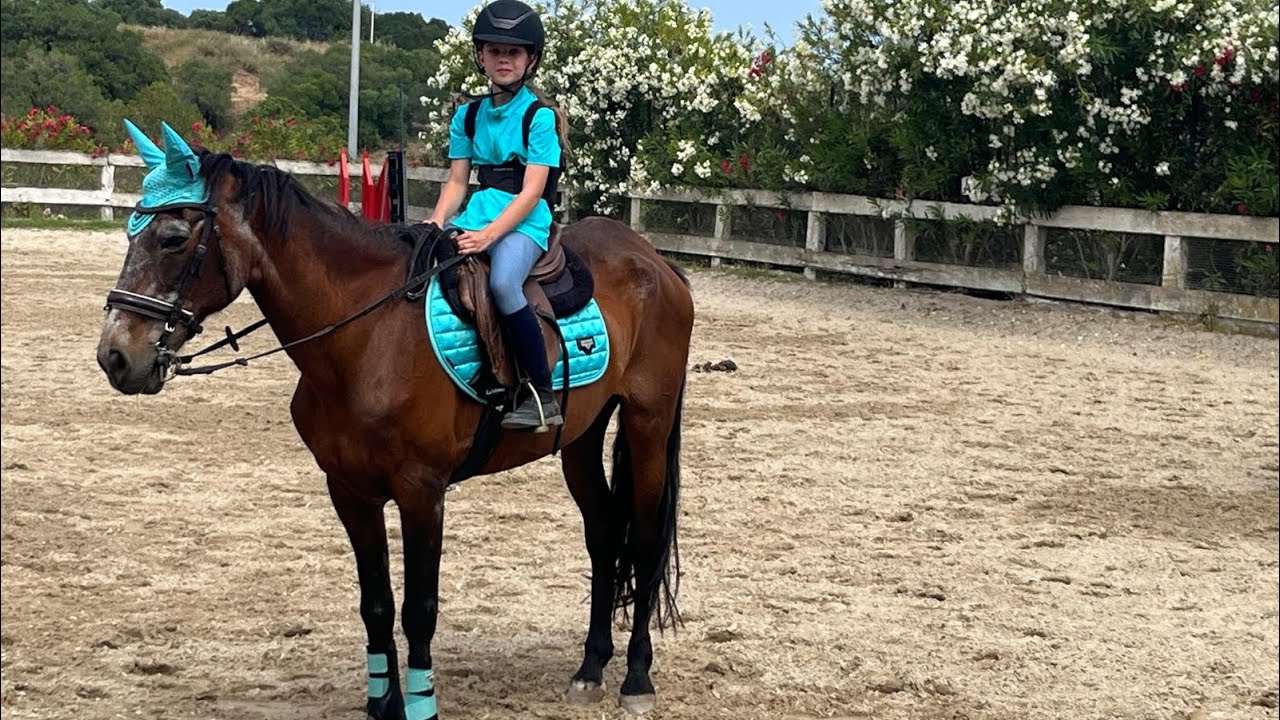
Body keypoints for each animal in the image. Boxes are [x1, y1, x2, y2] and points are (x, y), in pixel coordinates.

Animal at [95, 123, 694, 718]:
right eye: (131, 232)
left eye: (173, 238)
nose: (115, 356)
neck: (365, 336)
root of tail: (655, 261)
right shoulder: (350, 492)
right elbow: (377, 605)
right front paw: (383, 703)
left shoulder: (421, 492)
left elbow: (419, 608)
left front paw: (420, 703)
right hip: (581, 437)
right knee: (604, 533)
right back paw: (591, 667)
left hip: (647, 424)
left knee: (643, 541)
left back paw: (635, 676)